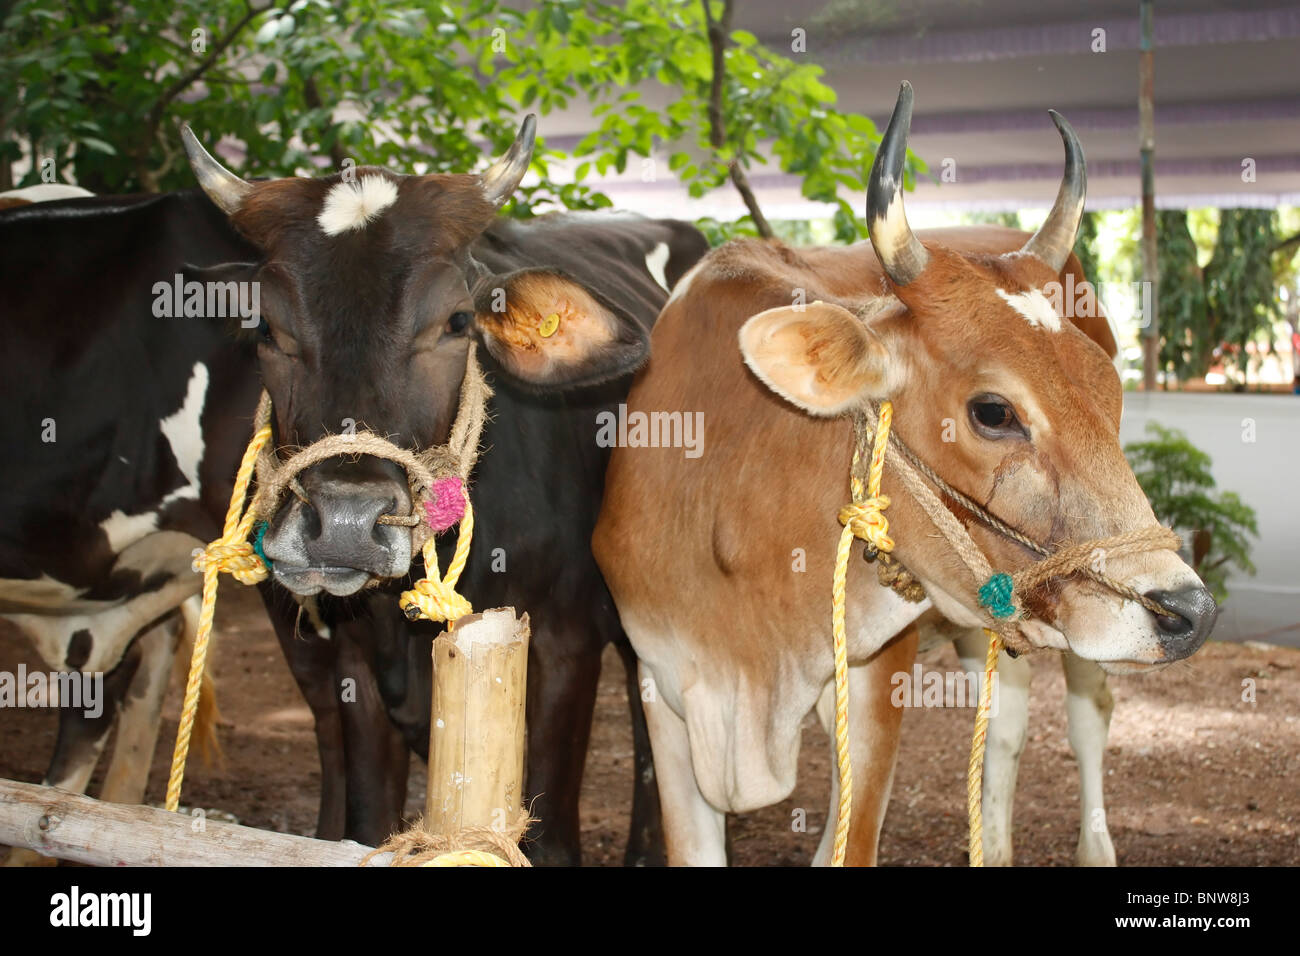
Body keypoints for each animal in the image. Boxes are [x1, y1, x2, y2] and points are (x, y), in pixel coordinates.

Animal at [179, 115, 709, 863]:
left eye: (457, 322)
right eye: (264, 327)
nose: (345, 523)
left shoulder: (565, 648)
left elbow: (552, 838)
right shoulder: (353, 668)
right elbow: (366, 820)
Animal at [591, 83, 1217, 866]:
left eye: (1111, 391)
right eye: (993, 411)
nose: (1190, 612)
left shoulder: (875, 674)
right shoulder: (663, 688)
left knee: (1087, 710)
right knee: (1007, 716)